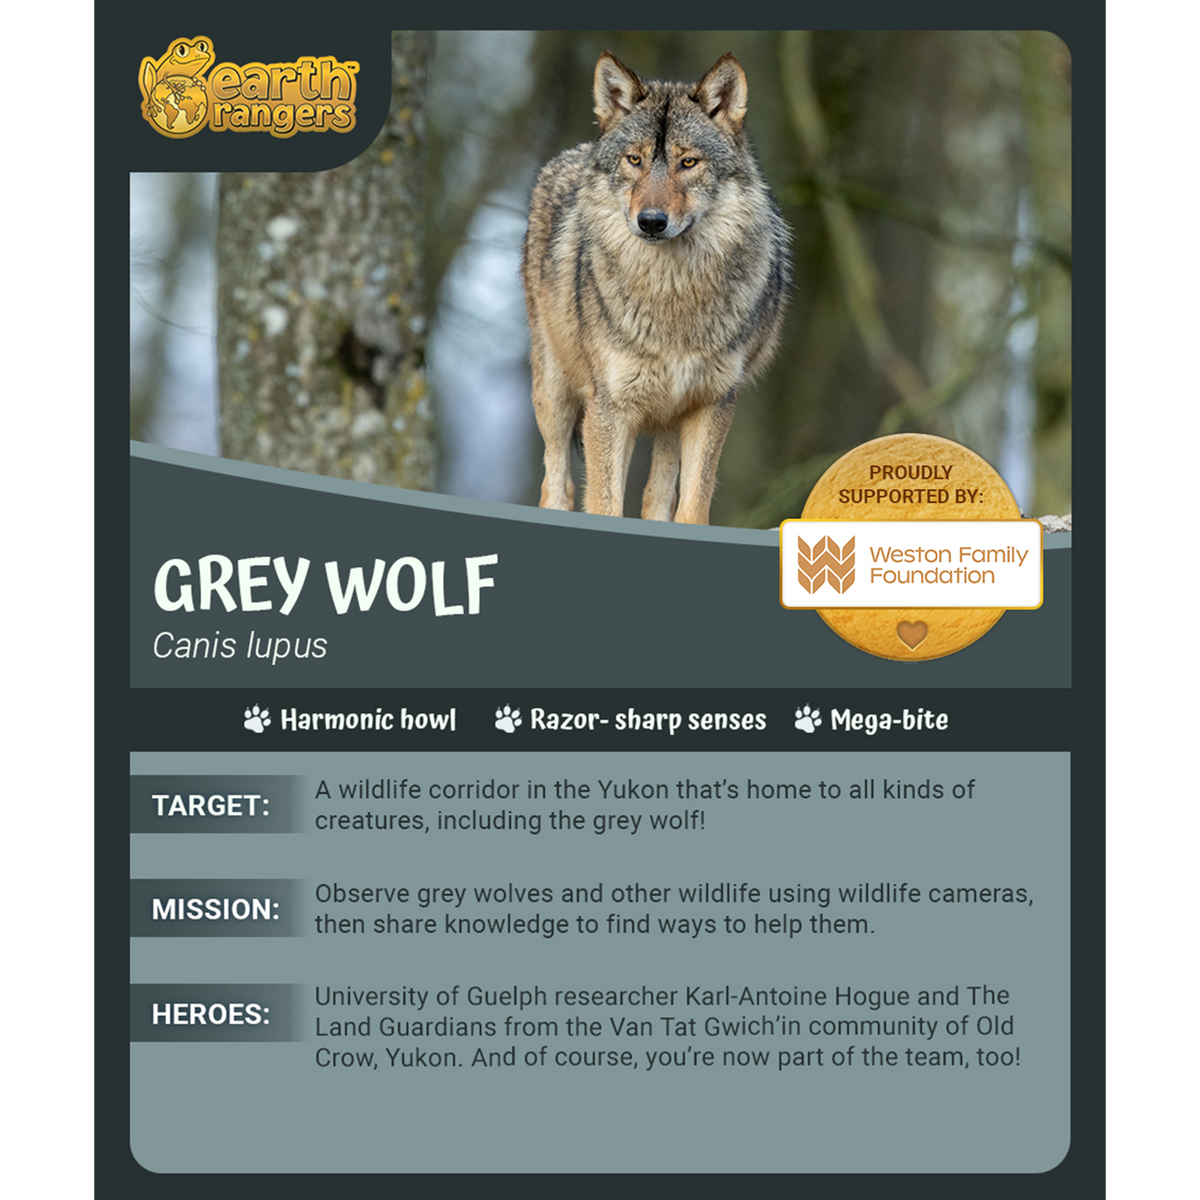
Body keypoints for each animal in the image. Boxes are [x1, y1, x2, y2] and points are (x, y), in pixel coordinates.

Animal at [522, 51, 790, 524]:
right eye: (635, 160)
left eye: (689, 163)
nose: (650, 221)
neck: (672, 295)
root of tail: (569, 155)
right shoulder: (609, 408)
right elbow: (604, 504)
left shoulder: (713, 404)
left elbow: (693, 508)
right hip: (554, 397)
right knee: (556, 485)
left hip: (668, 420)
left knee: (656, 498)